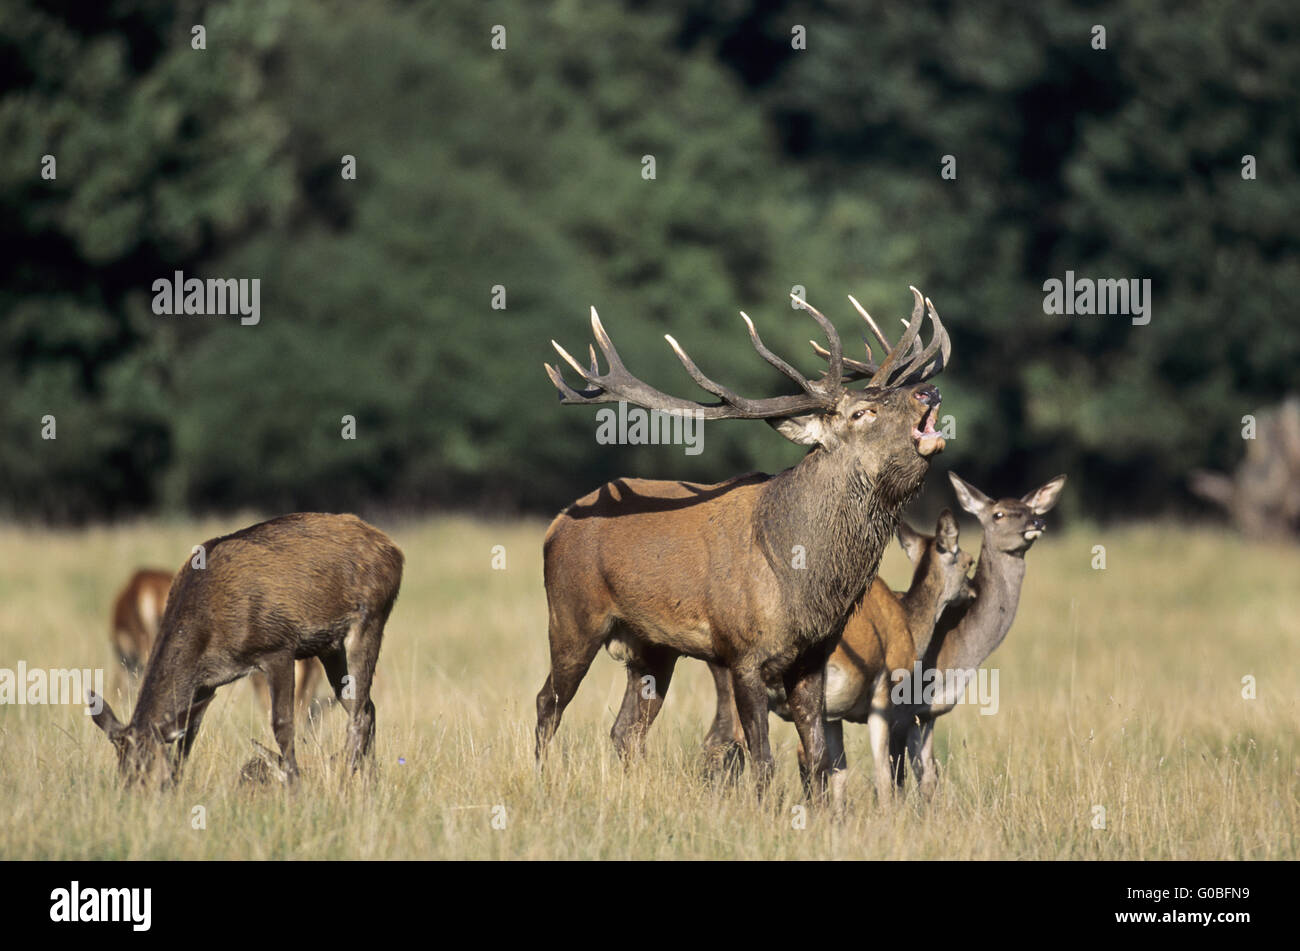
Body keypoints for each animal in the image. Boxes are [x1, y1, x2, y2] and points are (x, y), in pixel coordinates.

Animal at [537, 286, 951, 795]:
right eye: (862, 412)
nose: (927, 390)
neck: (802, 580)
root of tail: (556, 524)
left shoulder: (812, 659)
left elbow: (818, 761)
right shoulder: (742, 653)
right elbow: (763, 761)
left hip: (653, 646)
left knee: (626, 729)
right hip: (572, 616)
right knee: (548, 704)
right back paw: (540, 779)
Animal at [702, 508, 975, 804]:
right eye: (968, 562)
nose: (972, 593)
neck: (909, 623)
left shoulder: (832, 716)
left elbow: (838, 768)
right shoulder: (886, 694)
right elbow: (883, 770)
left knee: (720, 743)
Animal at [889, 471, 1066, 799]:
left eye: (1030, 509)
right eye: (998, 514)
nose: (1037, 522)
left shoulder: (927, 712)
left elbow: (929, 777)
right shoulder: (901, 705)